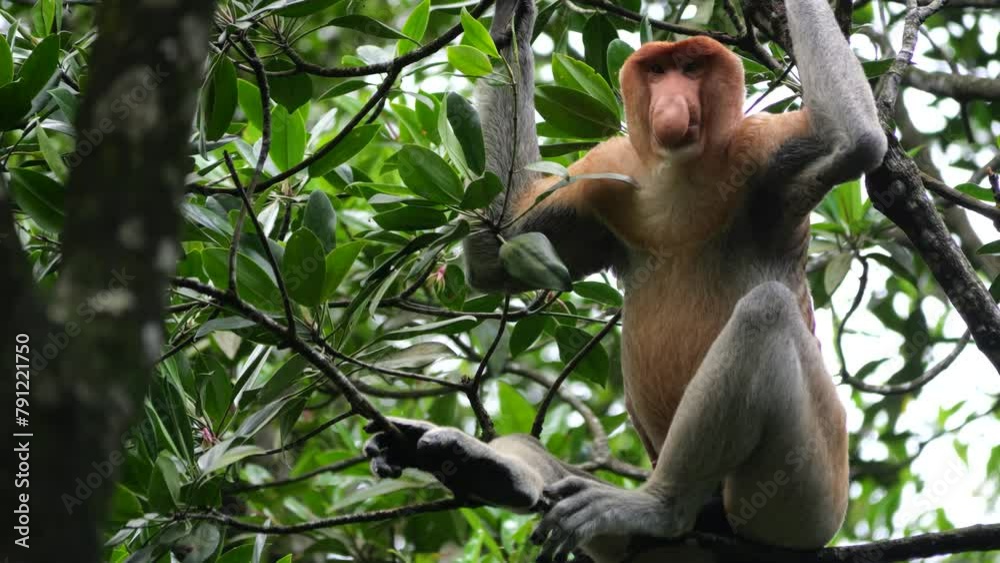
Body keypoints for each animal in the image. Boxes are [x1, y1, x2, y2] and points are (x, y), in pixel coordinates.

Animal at [365, 0, 887, 560]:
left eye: (692, 68)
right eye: (657, 70)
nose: (671, 102)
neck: (680, 171)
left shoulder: (765, 144)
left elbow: (855, 144)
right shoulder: (607, 169)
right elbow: (497, 251)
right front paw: (513, 20)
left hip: (812, 491)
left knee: (766, 311)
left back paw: (657, 506)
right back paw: (482, 467)